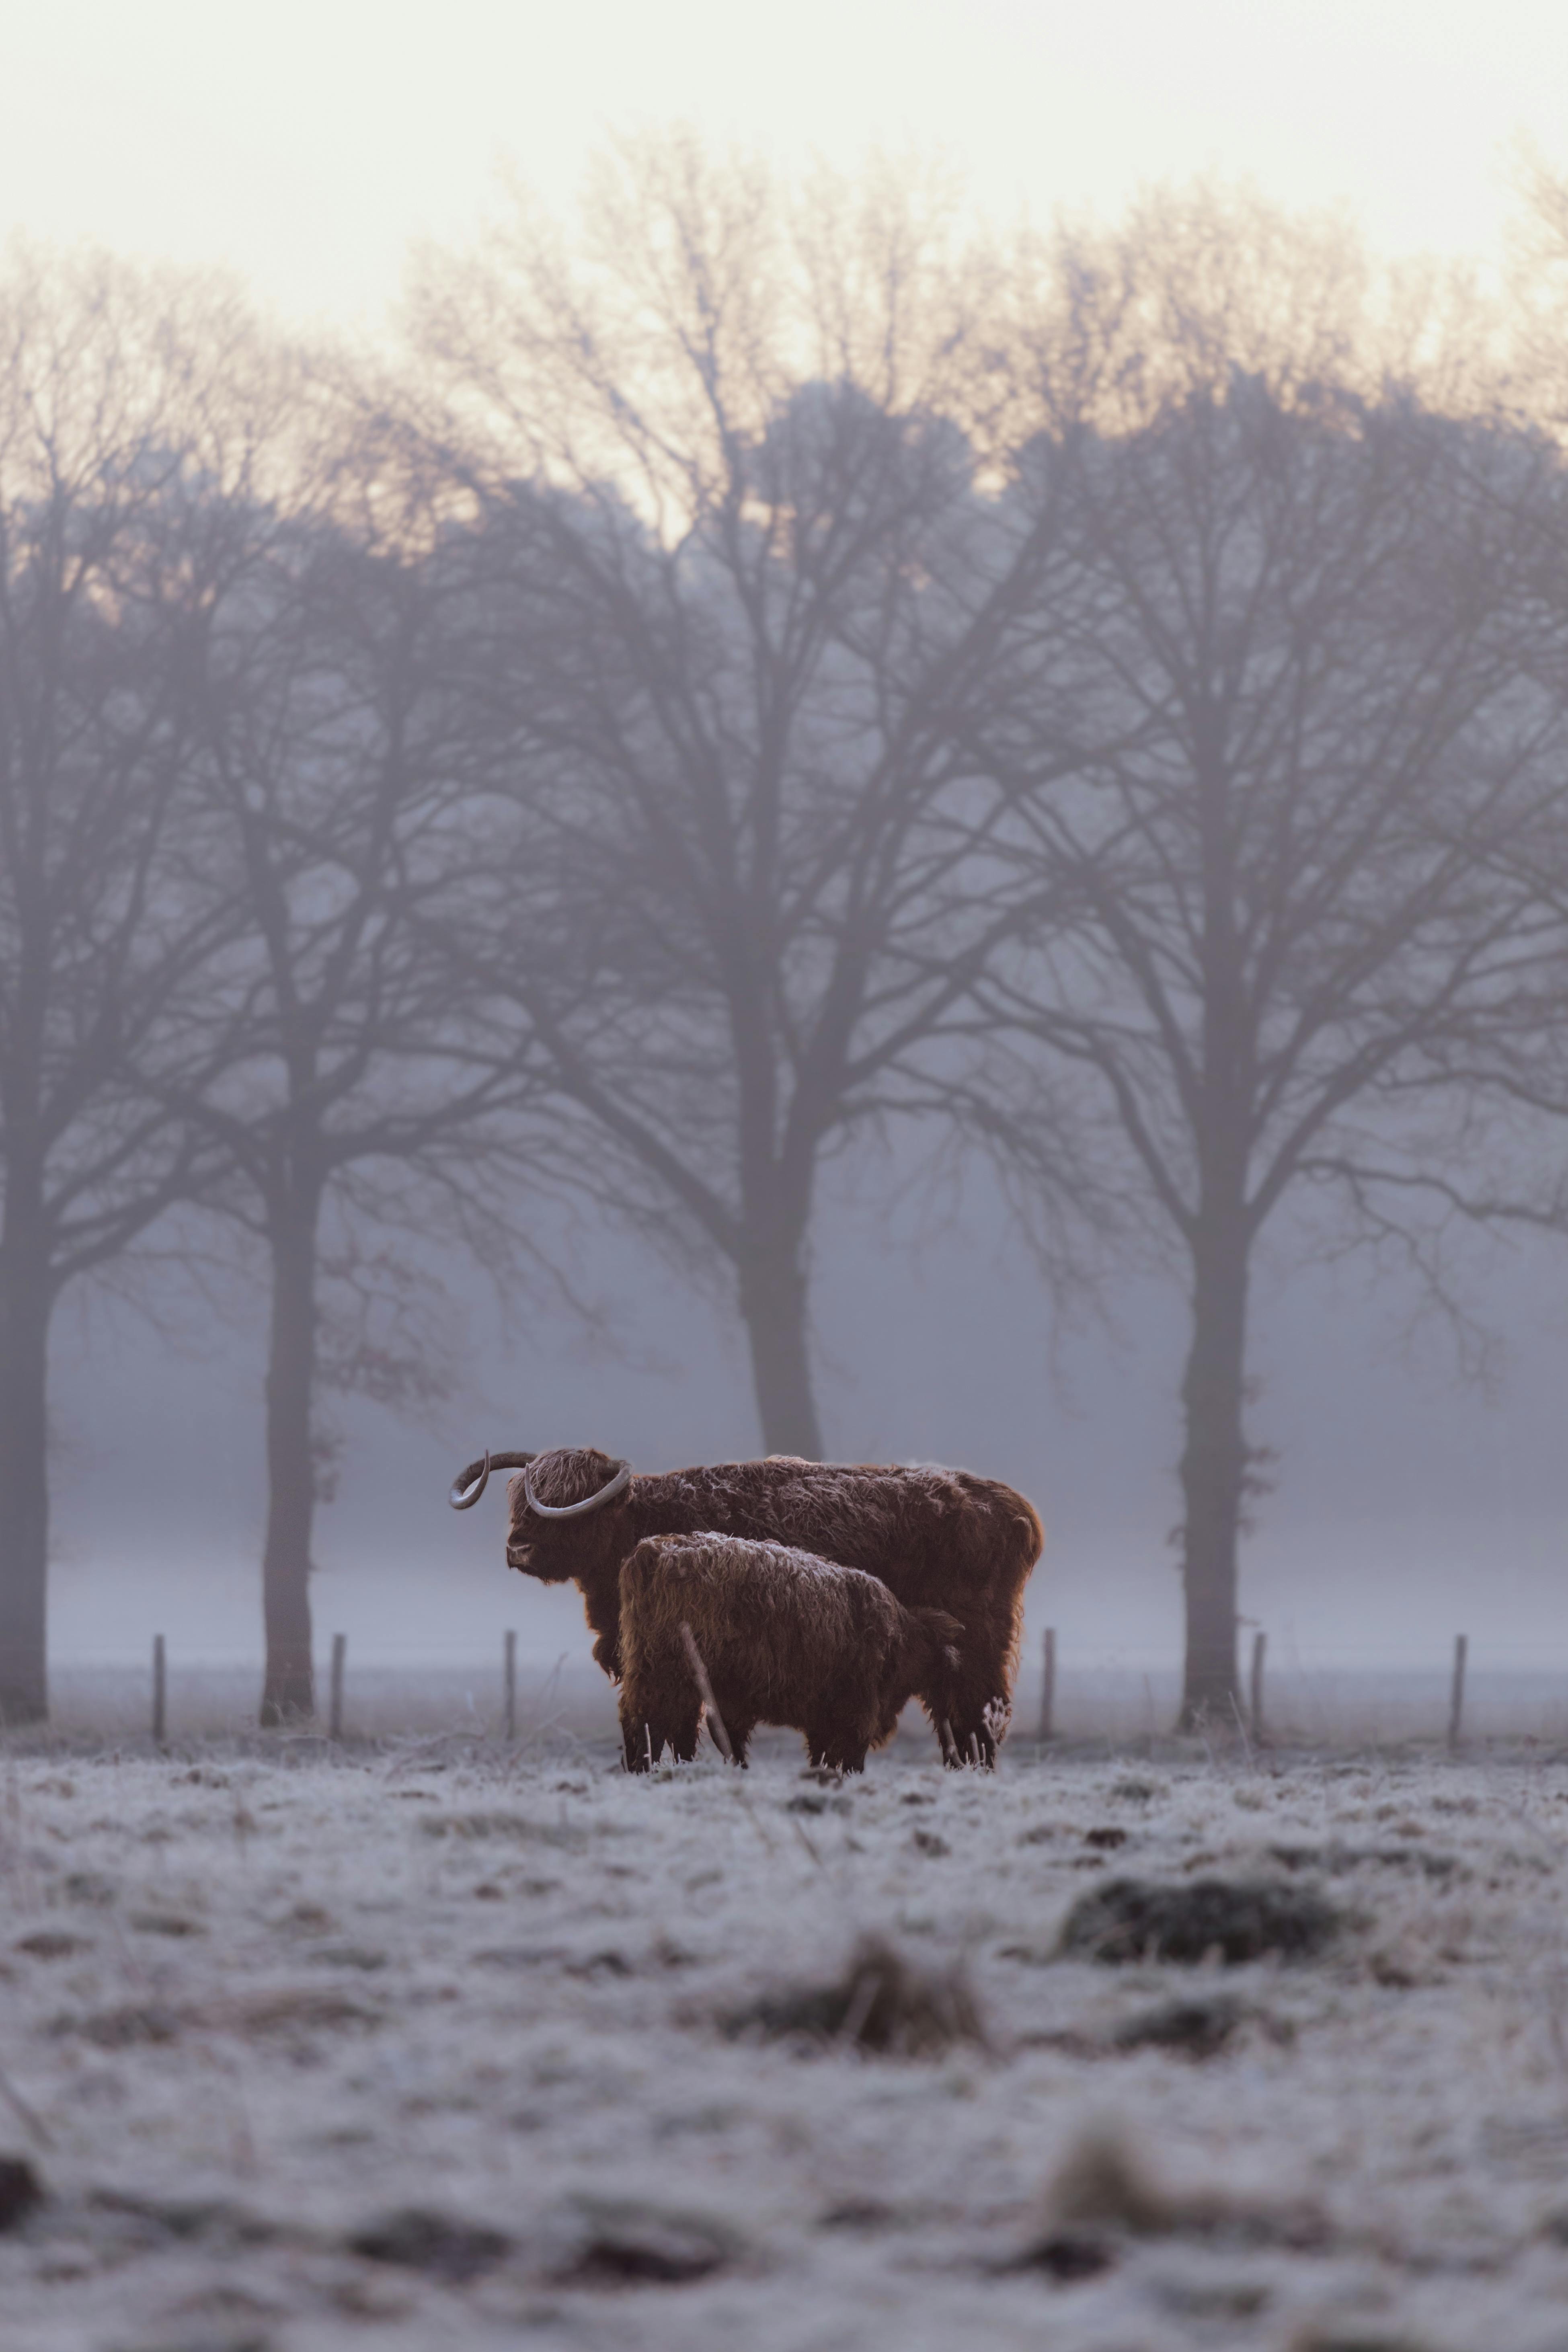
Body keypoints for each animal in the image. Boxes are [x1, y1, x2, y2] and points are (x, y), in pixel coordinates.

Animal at [616, 1531, 964, 1774]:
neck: (901, 1642)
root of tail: (655, 1550)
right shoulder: (861, 1707)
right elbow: (853, 1757)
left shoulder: (823, 1715)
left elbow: (823, 1755)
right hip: (669, 1673)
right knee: (652, 1723)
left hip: (659, 1671)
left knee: (665, 1727)